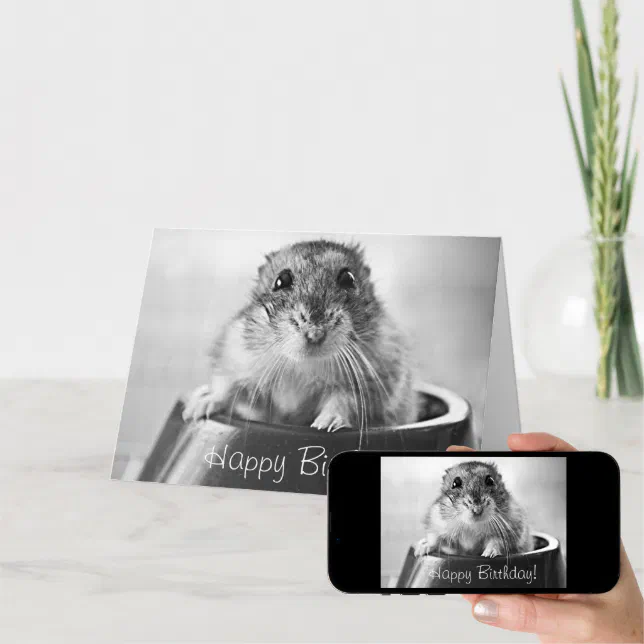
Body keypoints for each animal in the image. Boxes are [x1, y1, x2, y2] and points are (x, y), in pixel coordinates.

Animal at [182, 239, 418, 432]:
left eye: (348, 278)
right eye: (281, 281)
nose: (315, 334)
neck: (304, 364)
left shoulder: (371, 384)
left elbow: (343, 402)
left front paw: (325, 425)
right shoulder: (235, 359)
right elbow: (226, 389)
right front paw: (196, 410)